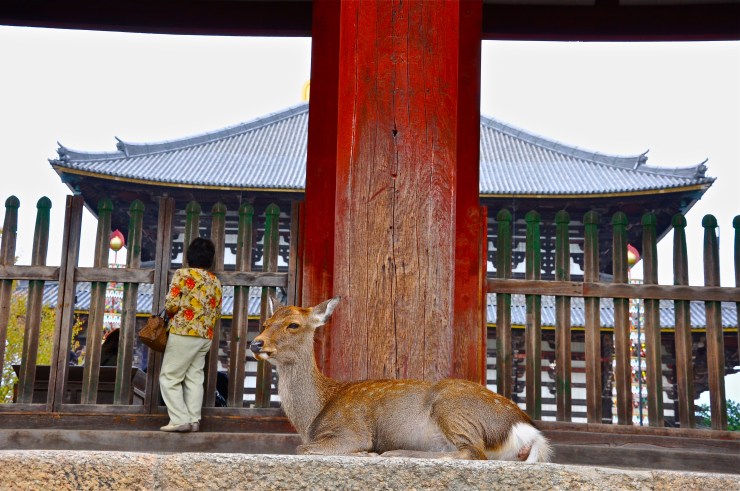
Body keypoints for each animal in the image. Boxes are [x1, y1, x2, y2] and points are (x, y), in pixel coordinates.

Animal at [249, 296, 552, 462]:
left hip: (454, 407)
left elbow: (301, 448)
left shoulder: (351, 431)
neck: (313, 415)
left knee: (472, 452)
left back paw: (395, 453)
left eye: (293, 325)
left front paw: (363, 453)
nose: (256, 343)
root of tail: (529, 432)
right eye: (265, 323)